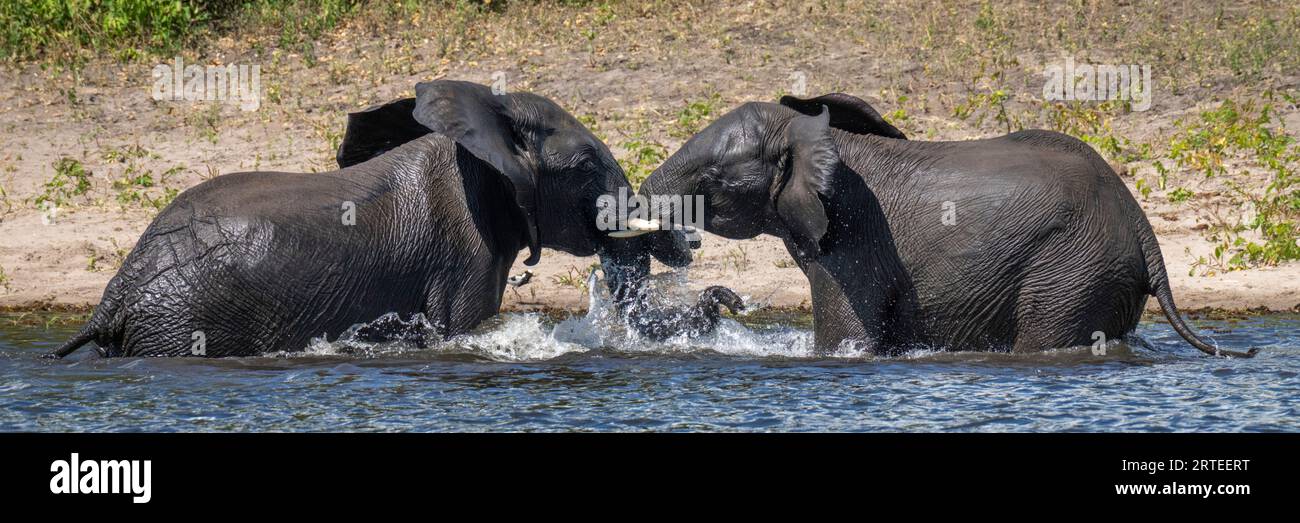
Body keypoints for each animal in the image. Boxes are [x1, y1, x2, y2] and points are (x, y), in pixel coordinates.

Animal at [49, 80, 718, 358]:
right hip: (183, 322)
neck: (479, 145)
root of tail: (115, 296)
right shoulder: (464, 252)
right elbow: (465, 328)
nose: (724, 294)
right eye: (585, 165)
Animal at [637, 93, 1257, 358]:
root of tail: (1143, 226)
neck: (816, 137)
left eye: (711, 177)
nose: (731, 298)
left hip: (1073, 268)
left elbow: (848, 341)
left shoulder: (853, 242)